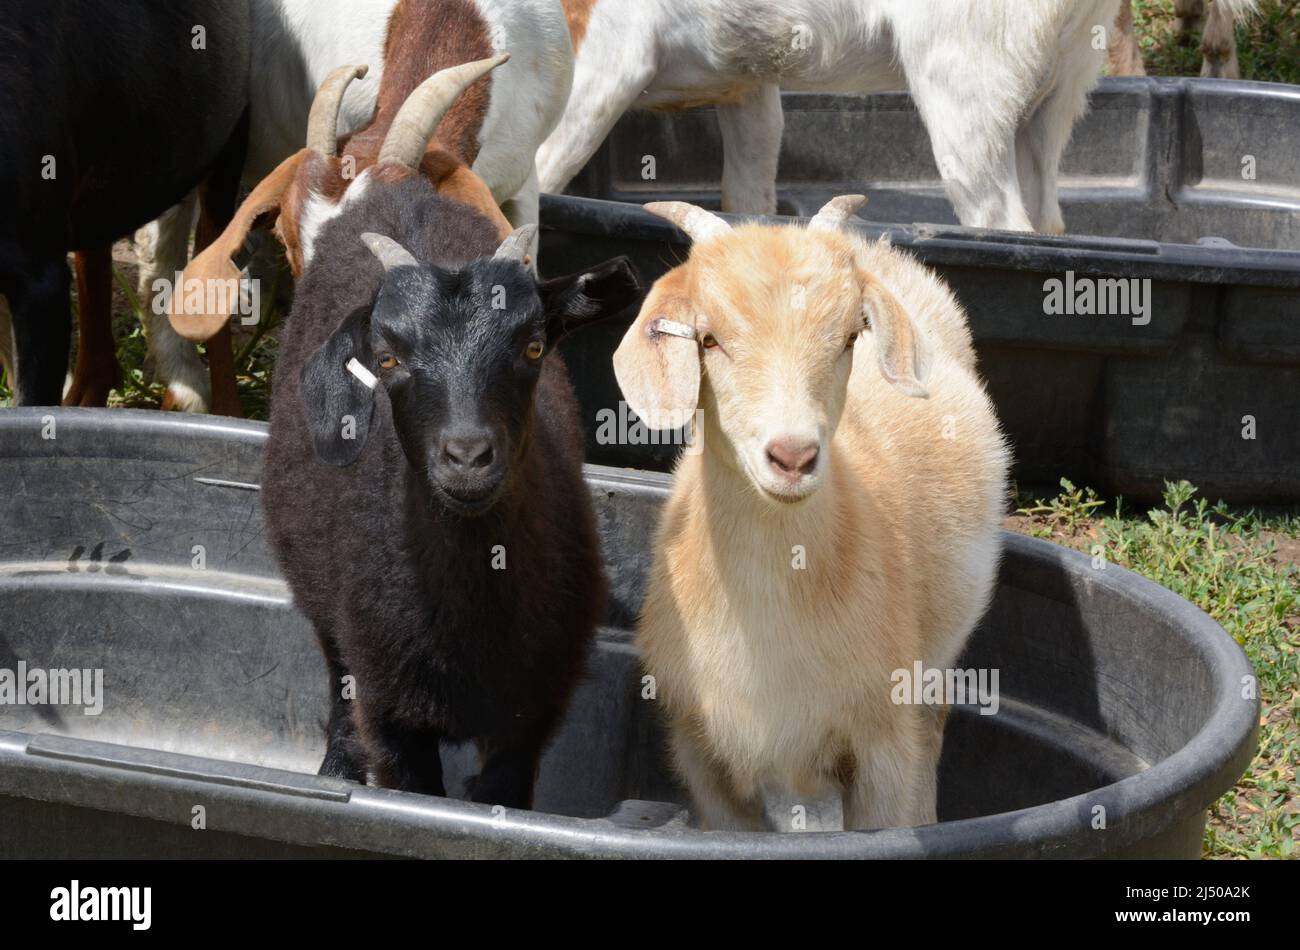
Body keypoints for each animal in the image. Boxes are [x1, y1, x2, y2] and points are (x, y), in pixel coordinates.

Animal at [181, 59, 639, 801]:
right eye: (387, 357)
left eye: (534, 346)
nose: (467, 455)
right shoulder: (392, 714)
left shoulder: (532, 714)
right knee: (338, 684)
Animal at [612, 196, 1009, 830]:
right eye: (708, 339)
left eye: (849, 337)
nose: (793, 456)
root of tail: (878, 253)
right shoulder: (705, 753)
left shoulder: (882, 745)